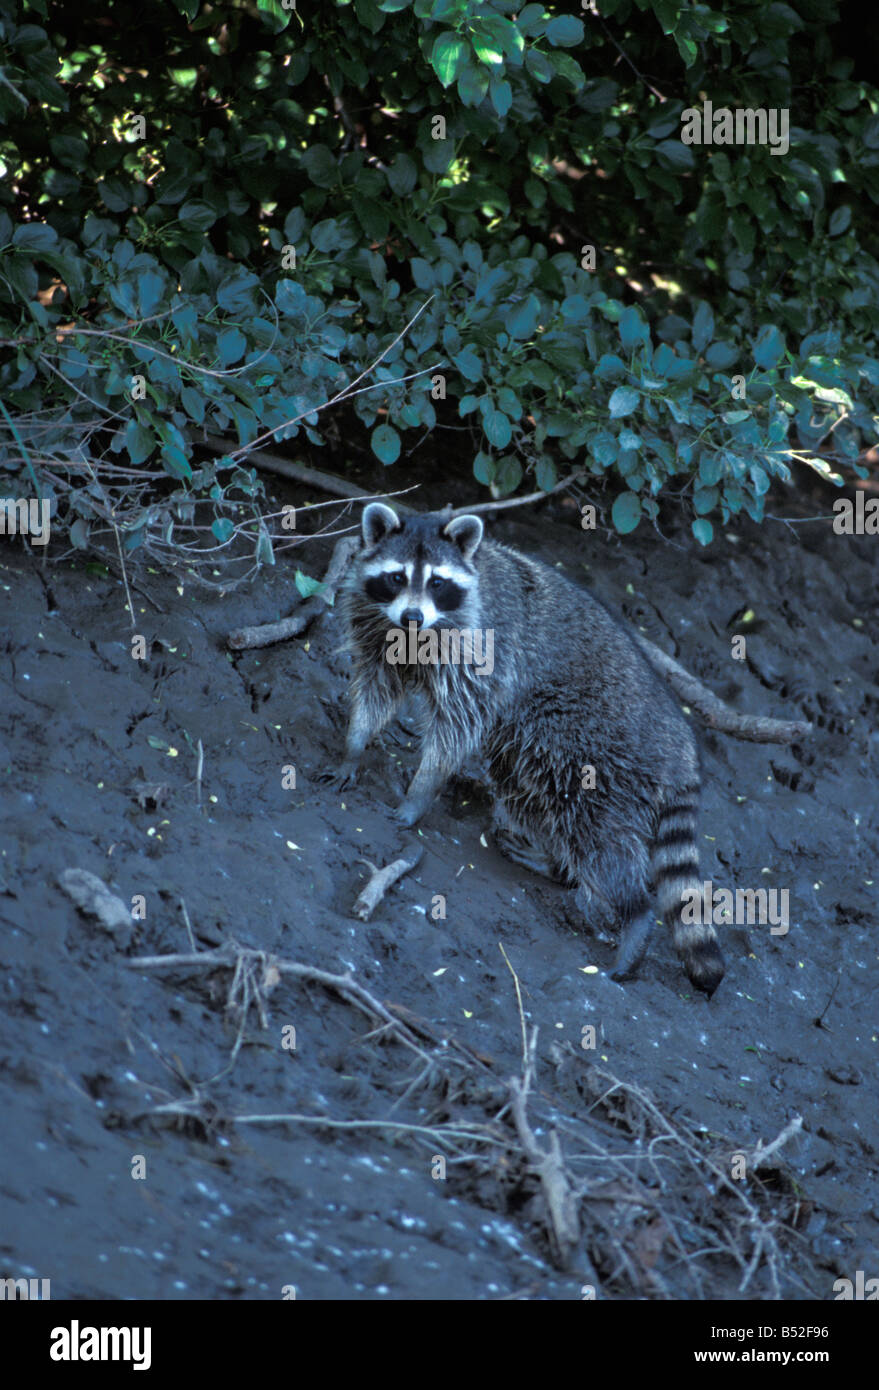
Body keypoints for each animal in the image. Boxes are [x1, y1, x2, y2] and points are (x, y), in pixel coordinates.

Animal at [329, 502, 725, 995]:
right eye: (397, 577)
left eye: (437, 582)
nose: (414, 617)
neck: (417, 631)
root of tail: (682, 748)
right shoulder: (377, 627)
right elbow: (376, 690)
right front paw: (354, 746)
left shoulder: (480, 653)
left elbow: (456, 729)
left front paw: (419, 793)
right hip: (546, 748)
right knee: (529, 787)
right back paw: (555, 864)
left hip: (601, 757)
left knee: (598, 835)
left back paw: (634, 913)